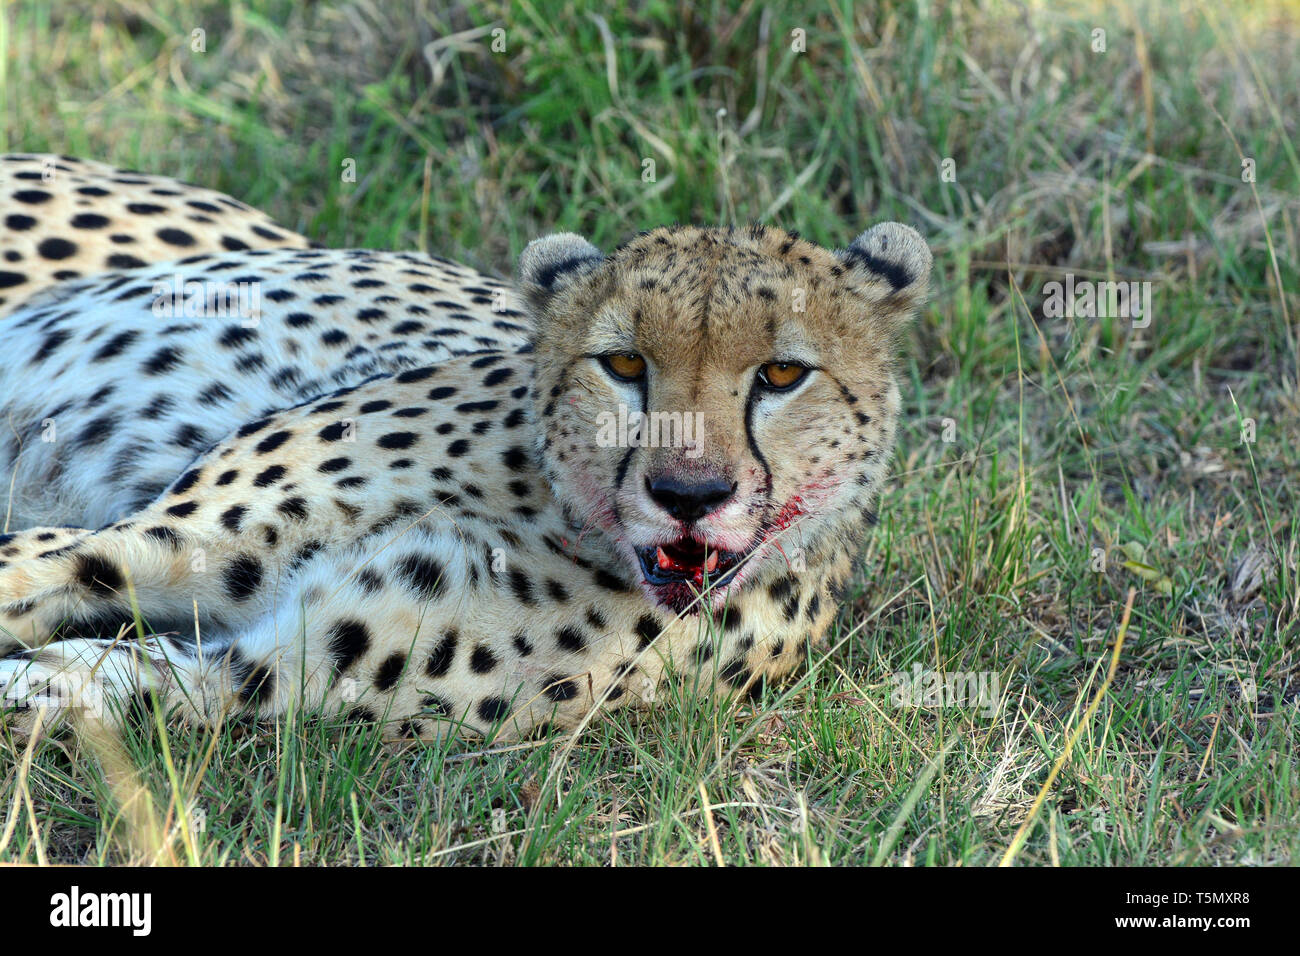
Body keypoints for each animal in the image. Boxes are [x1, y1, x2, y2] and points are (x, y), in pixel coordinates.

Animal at [0, 154, 932, 744]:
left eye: (782, 373)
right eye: (625, 362)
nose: (689, 495)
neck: (550, 516)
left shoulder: (258, 671)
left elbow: (74, 680)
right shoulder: (148, 539)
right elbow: (34, 576)